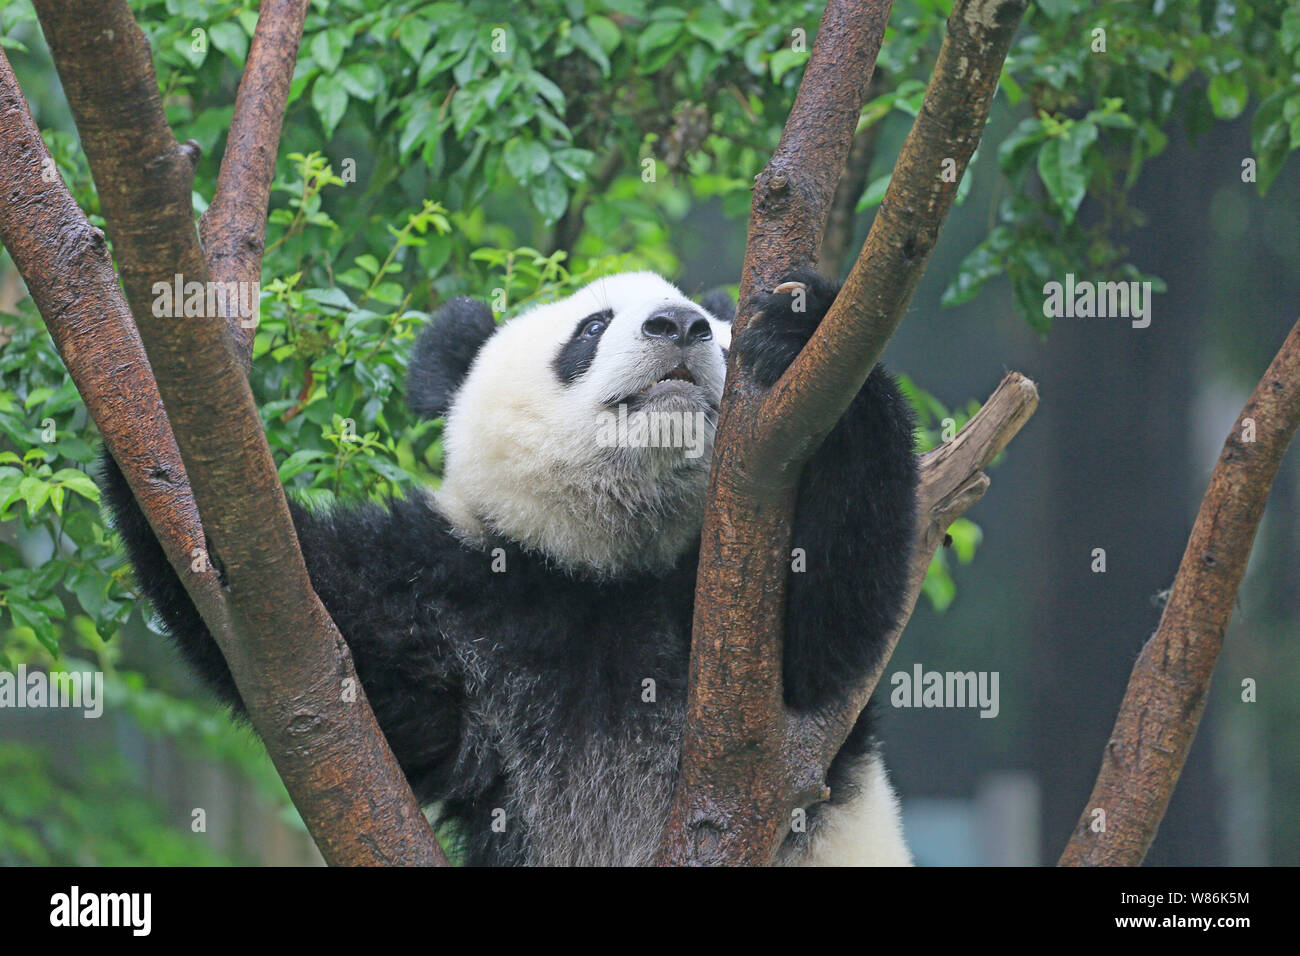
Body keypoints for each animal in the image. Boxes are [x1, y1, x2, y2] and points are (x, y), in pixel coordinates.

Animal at [98, 267, 918, 866]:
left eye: (714, 328)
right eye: (592, 328)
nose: (681, 325)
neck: (611, 565)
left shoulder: (725, 585)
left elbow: (828, 629)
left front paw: (801, 323)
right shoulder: (460, 591)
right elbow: (315, 634)